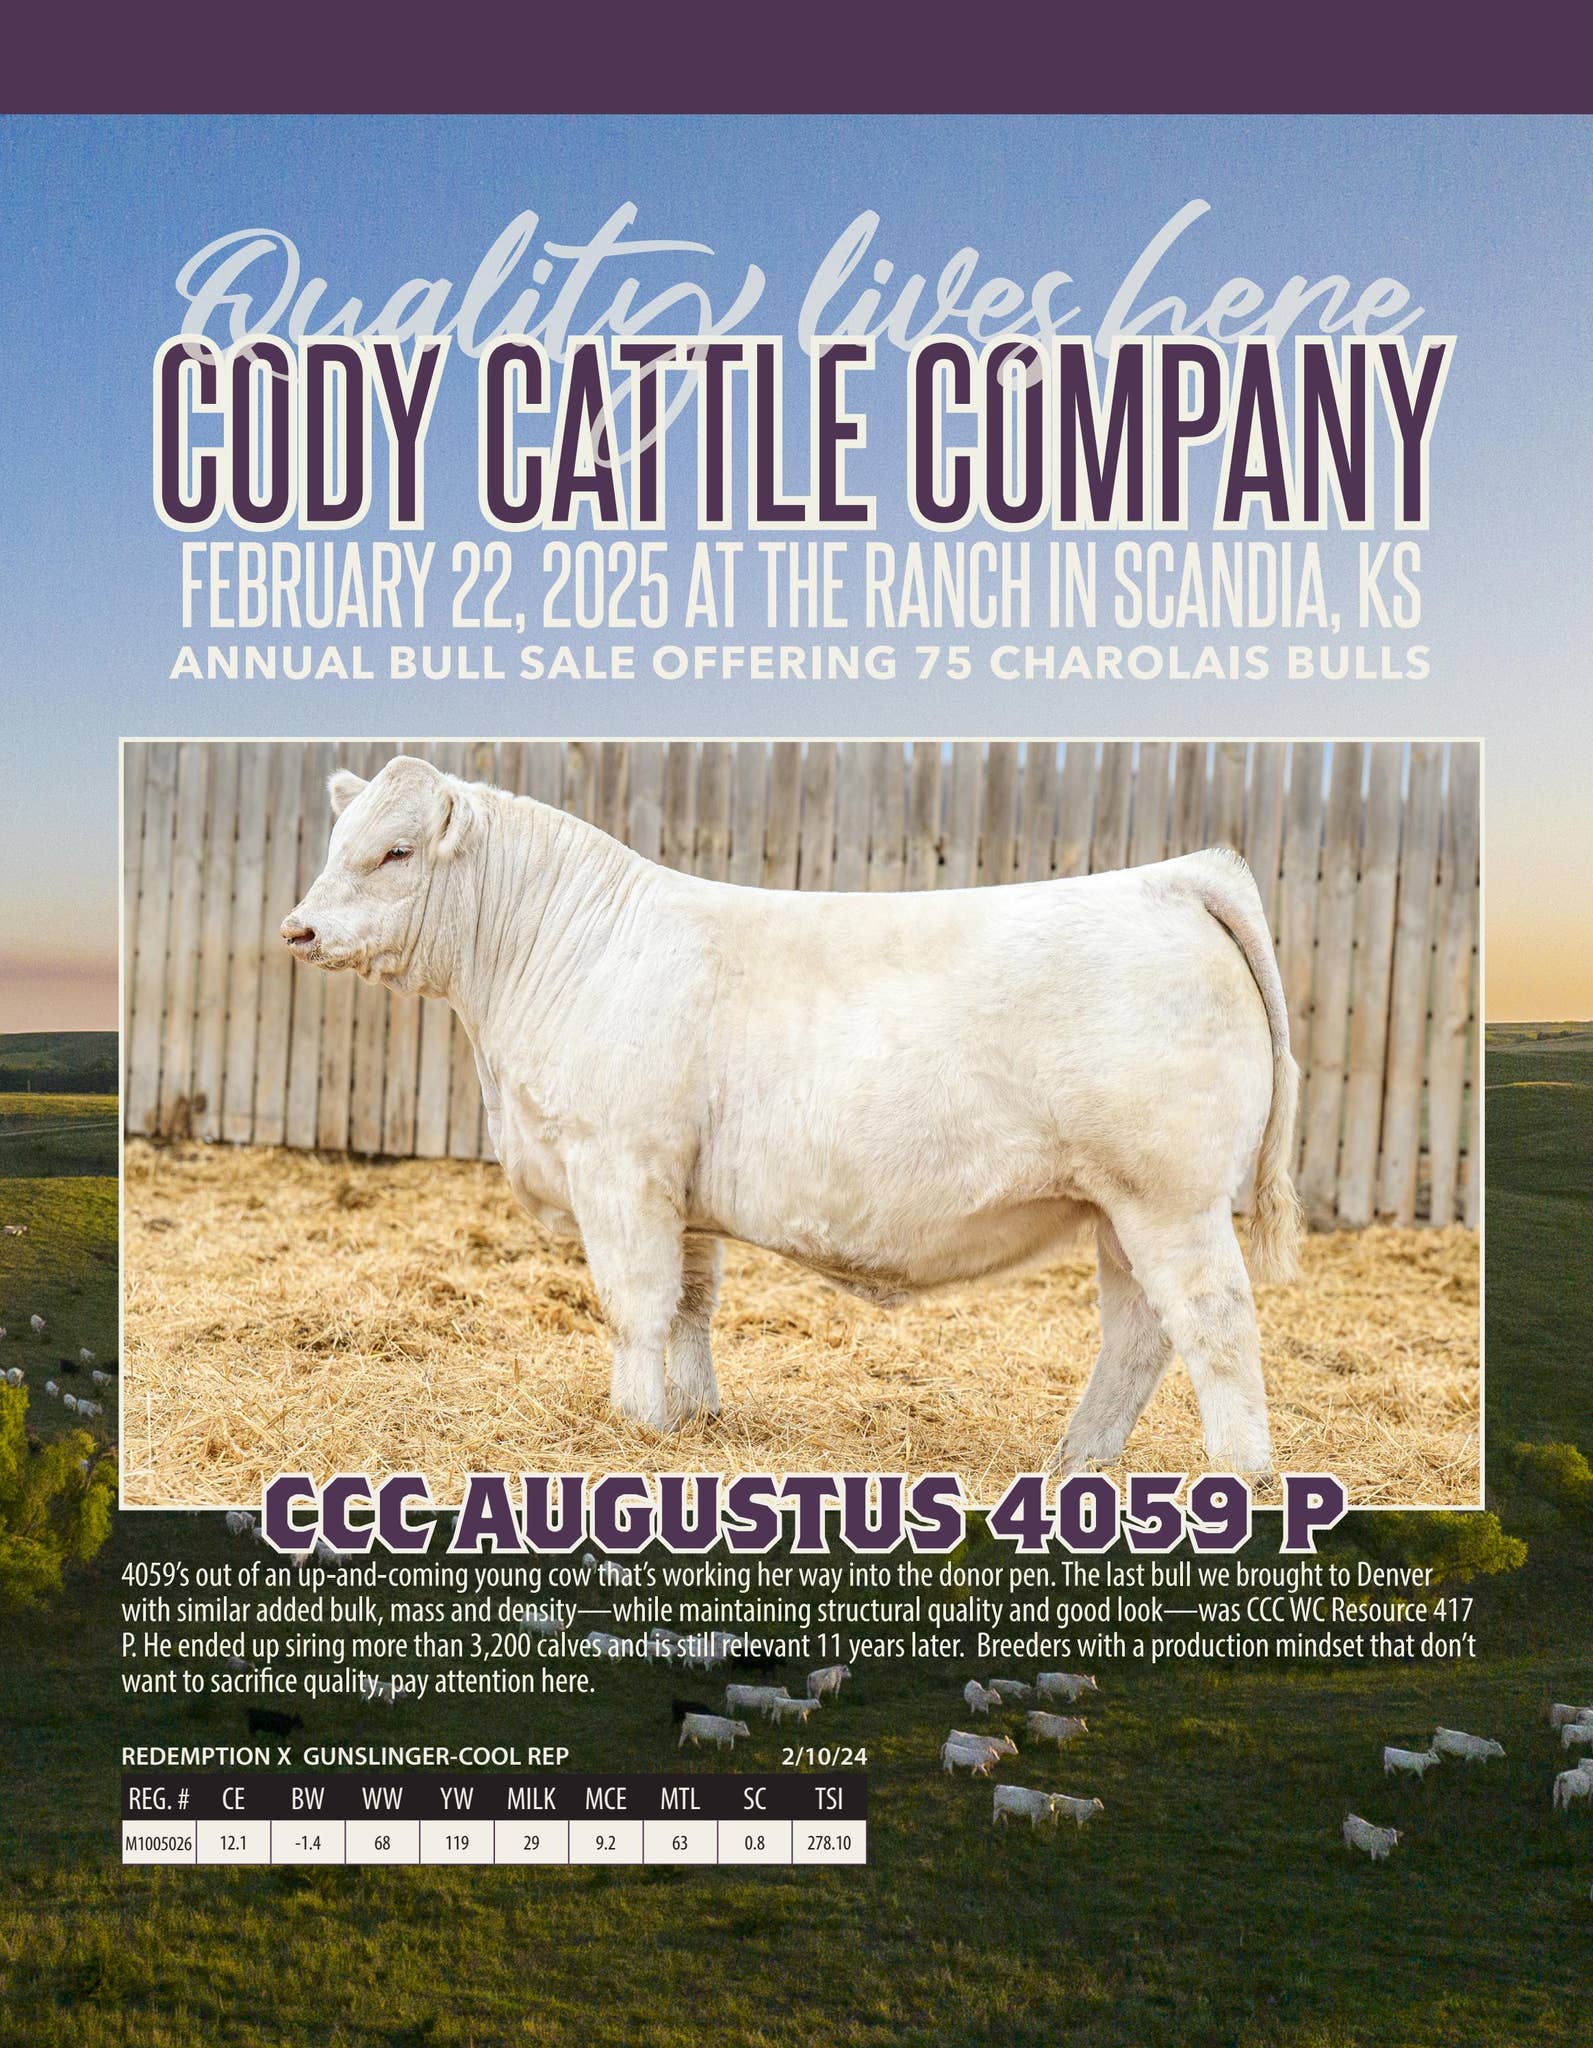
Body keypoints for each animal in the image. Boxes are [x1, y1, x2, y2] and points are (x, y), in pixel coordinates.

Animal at [283, 755, 1302, 1473]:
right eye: (336, 843)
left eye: (395, 850)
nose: (298, 928)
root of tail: (1176, 876)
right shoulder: (682, 1191)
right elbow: (690, 1303)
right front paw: (693, 1415)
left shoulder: (618, 1165)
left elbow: (634, 1304)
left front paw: (635, 1422)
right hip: (1118, 1209)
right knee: (1137, 1335)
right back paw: (1074, 1461)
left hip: (1168, 1198)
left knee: (1212, 1323)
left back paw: (1236, 1475)